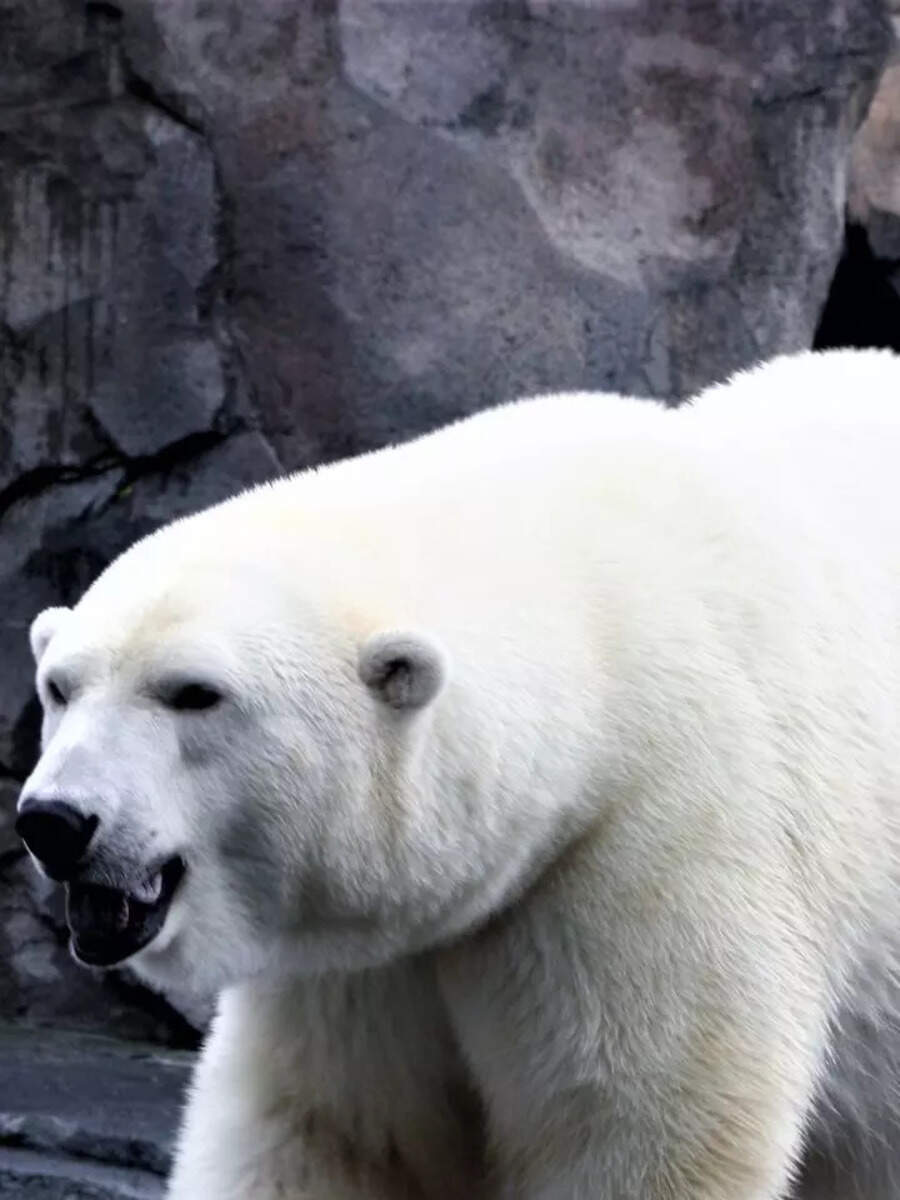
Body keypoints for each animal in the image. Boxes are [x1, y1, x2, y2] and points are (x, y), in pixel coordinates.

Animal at [15, 347, 900, 1200]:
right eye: (59, 686)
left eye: (194, 694)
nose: (55, 820)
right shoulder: (362, 958)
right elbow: (329, 1133)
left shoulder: (652, 847)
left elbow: (638, 1130)